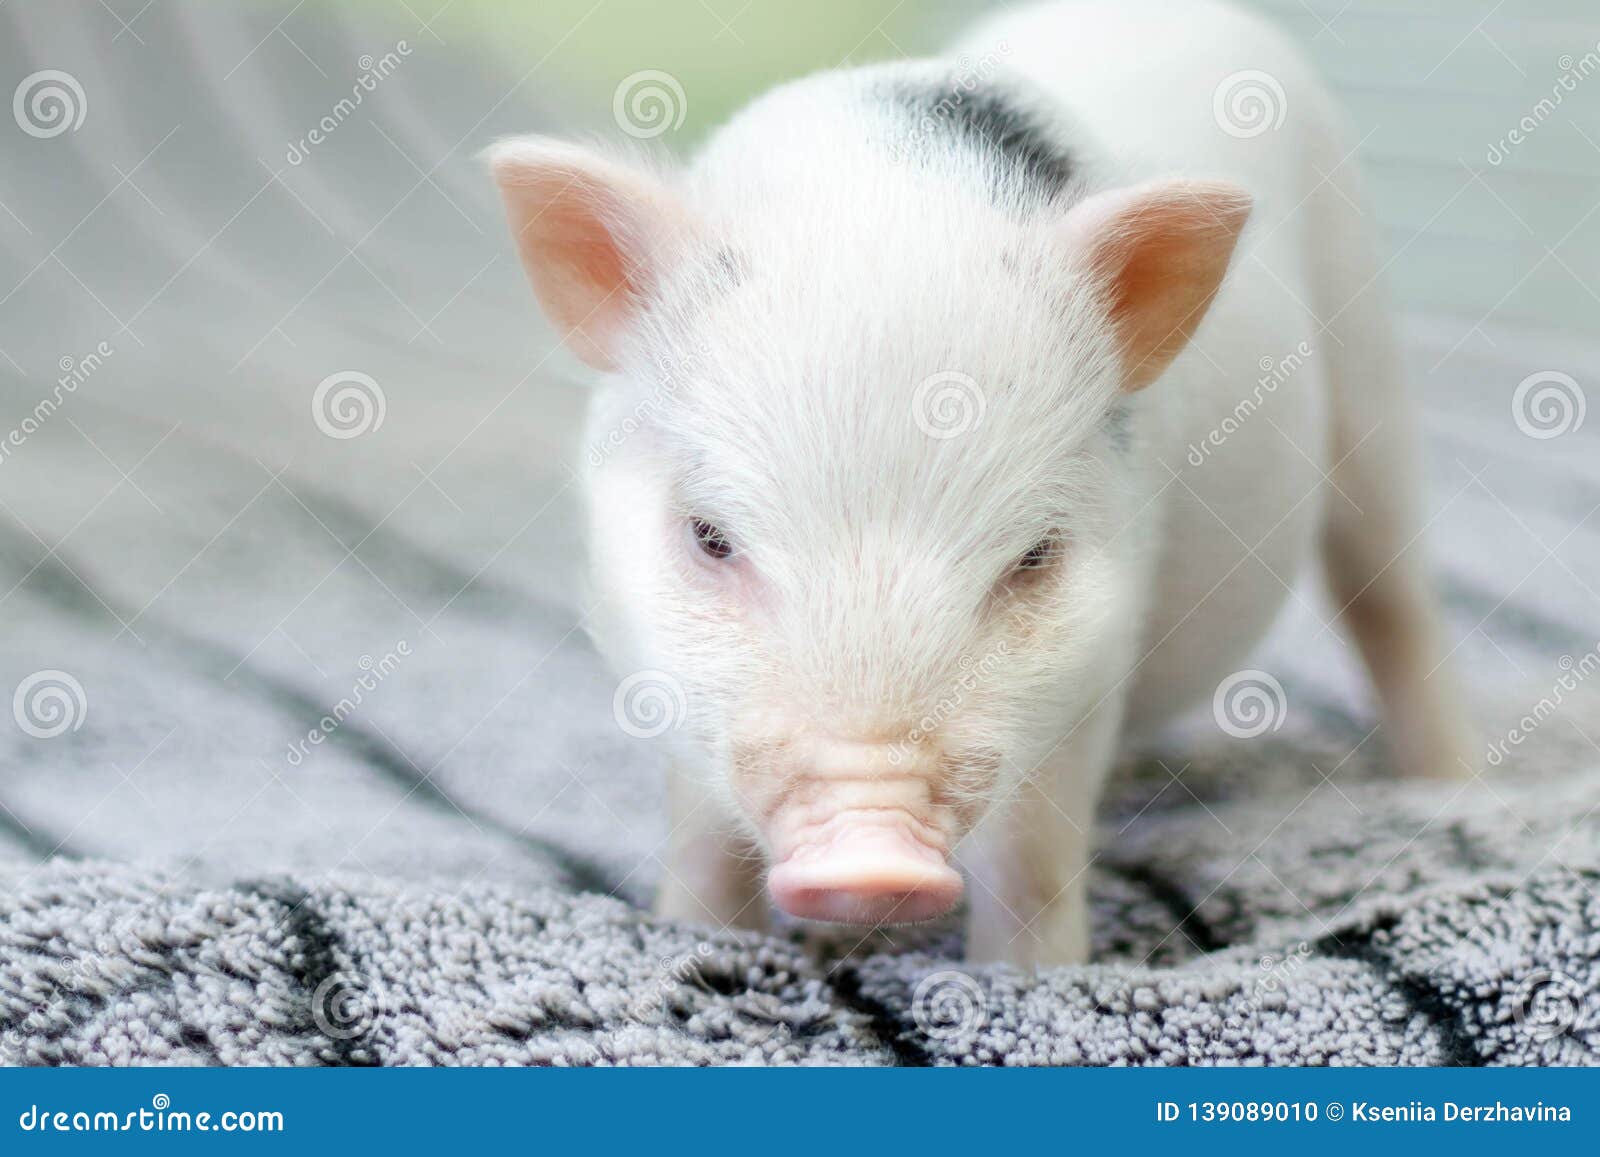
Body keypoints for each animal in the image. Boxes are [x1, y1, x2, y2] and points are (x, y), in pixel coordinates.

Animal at [488, 0, 1476, 966]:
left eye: (1033, 555)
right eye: (709, 537)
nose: (871, 859)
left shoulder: (1094, 660)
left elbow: (1032, 852)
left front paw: (1028, 980)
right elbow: (699, 829)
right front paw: (700, 944)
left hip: (1369, 353)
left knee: (1390, 598)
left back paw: (1453, 784)